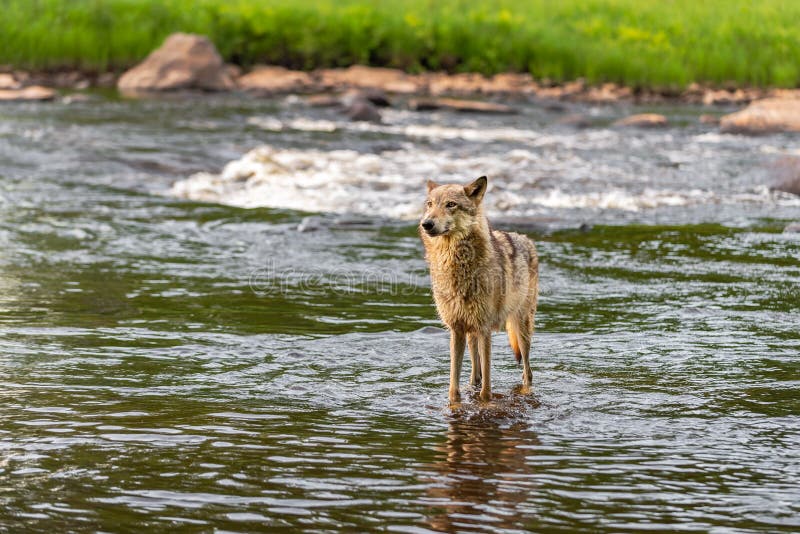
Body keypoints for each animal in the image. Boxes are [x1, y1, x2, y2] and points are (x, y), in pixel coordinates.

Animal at [419, 176, 539, 403]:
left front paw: (485, 404)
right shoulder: (456, 329)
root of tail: (525, 238)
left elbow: (487, 388)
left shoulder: (484, 329)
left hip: (521, 329)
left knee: (527, 371)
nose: (426, 223)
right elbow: (453, 384)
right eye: (430, 204)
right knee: (476, 373)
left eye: (450, 204)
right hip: (471, 333)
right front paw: (455, 404)